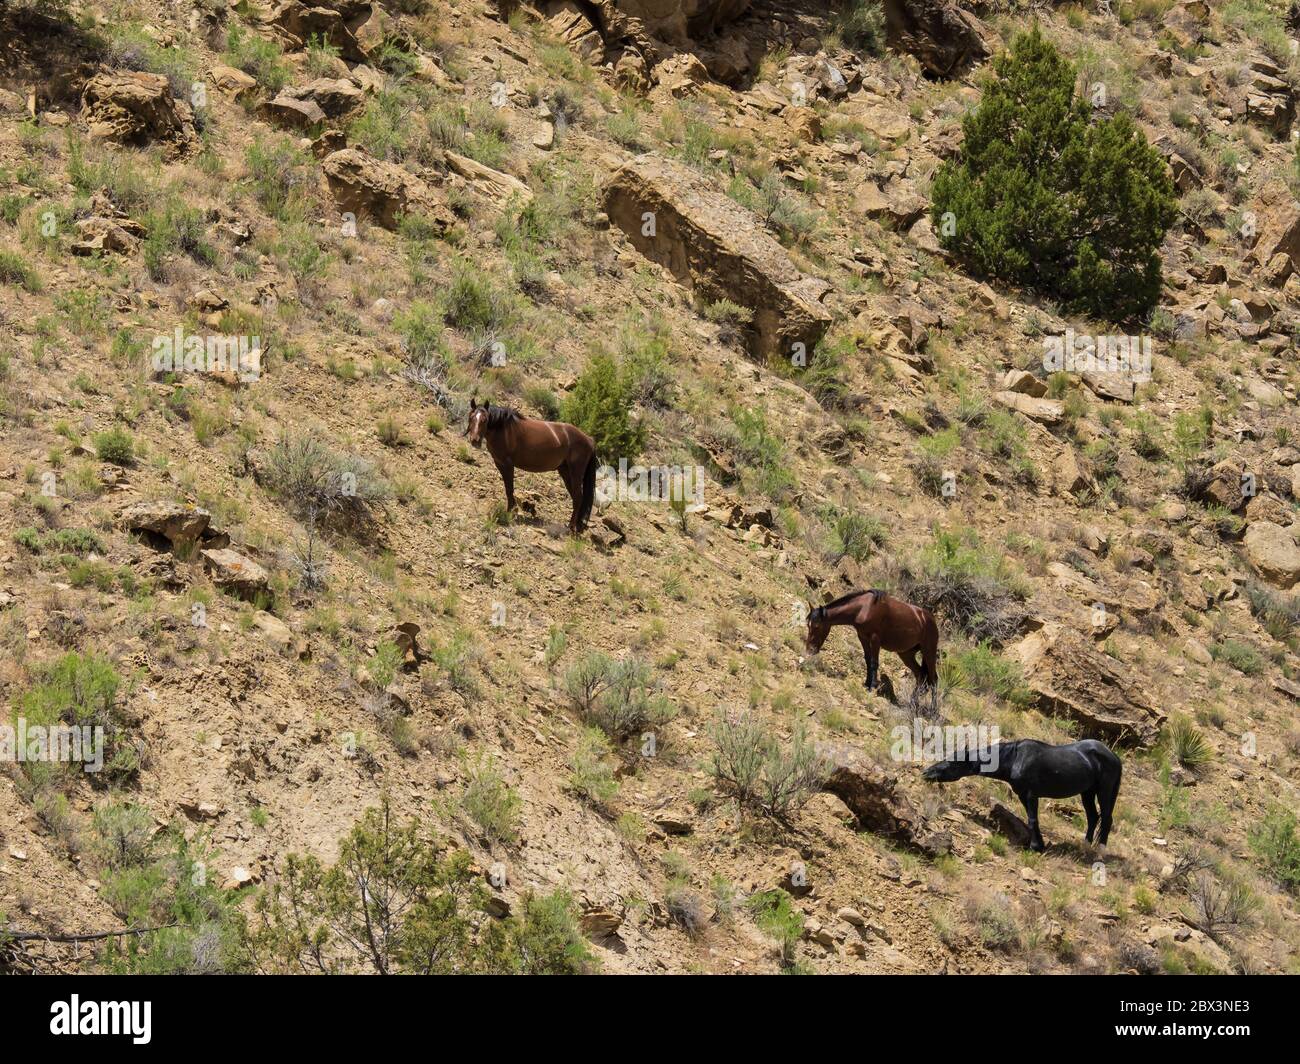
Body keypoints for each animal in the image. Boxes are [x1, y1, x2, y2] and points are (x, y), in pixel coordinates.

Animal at [465, 399, 598, 535]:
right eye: (471, 417)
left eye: (485, 420)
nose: (475, 440)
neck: (502, 428)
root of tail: (589, 440)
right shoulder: (500, 464)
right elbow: (508, 488)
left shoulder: (508, 465)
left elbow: (509, 489)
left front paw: (510, 512)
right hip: (566, 472)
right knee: (576, 498)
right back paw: (573, 526)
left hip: (576, 473)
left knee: (578, 497)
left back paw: (571, 527)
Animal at [804, 589, 940, 710]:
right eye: (808, 625)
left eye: (816, 626)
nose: (810, 650)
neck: (864, 607)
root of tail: (929, 618)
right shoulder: (863, 637)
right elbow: (868, 661)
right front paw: (867, 683)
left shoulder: (875, 639)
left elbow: (874, 662)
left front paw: (872, 687)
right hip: (906, 654)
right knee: (920, 675)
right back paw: (913, 703)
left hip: (929, 651)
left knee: (934, 679)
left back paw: (933, 710)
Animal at [923, 738, 1123, 852]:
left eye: (951, 763)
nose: (926, 772)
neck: (1014, 758)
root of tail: (1114, 756)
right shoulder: (1022, 796)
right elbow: (1032, 820)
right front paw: (1040, 844)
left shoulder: (1031, 795)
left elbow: (1032, 820)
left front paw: (1034, 847)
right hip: (1087, 792)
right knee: (1093, 817)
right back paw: (1086, 845)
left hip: (1104, 791)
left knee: (1106, 819)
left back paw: (1100, 851)